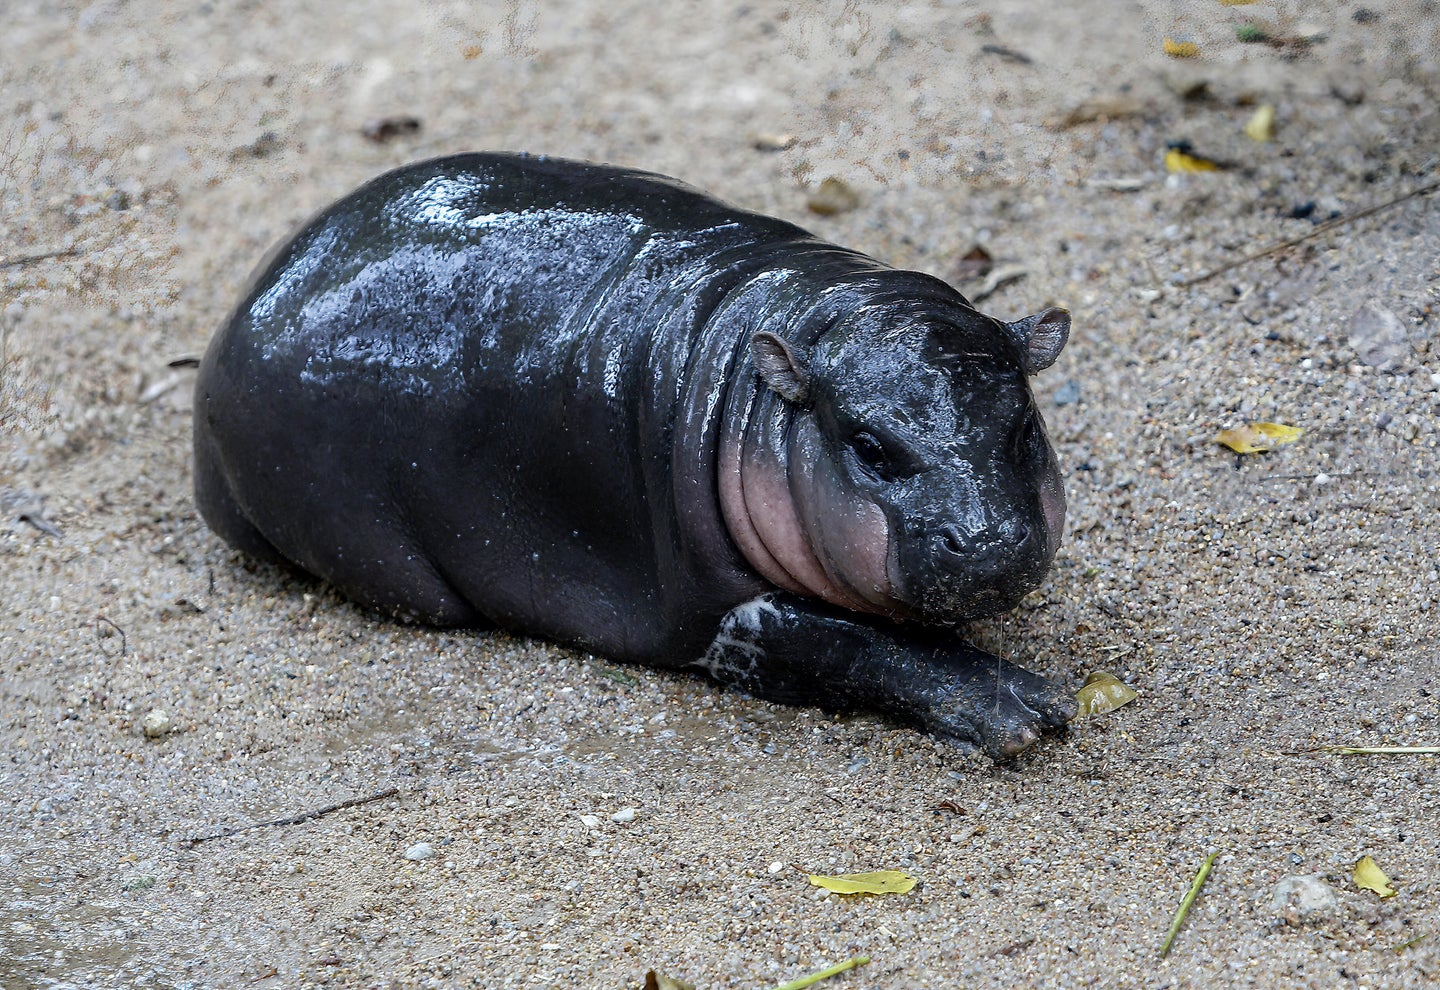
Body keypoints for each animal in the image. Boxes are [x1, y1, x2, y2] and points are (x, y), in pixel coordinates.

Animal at [194, 153, 1075, 757]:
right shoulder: (728, 621)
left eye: (1024, 428)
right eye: (868, 446)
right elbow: (859, 645)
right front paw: (1025, 708)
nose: (989, 539)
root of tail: (246, 306)